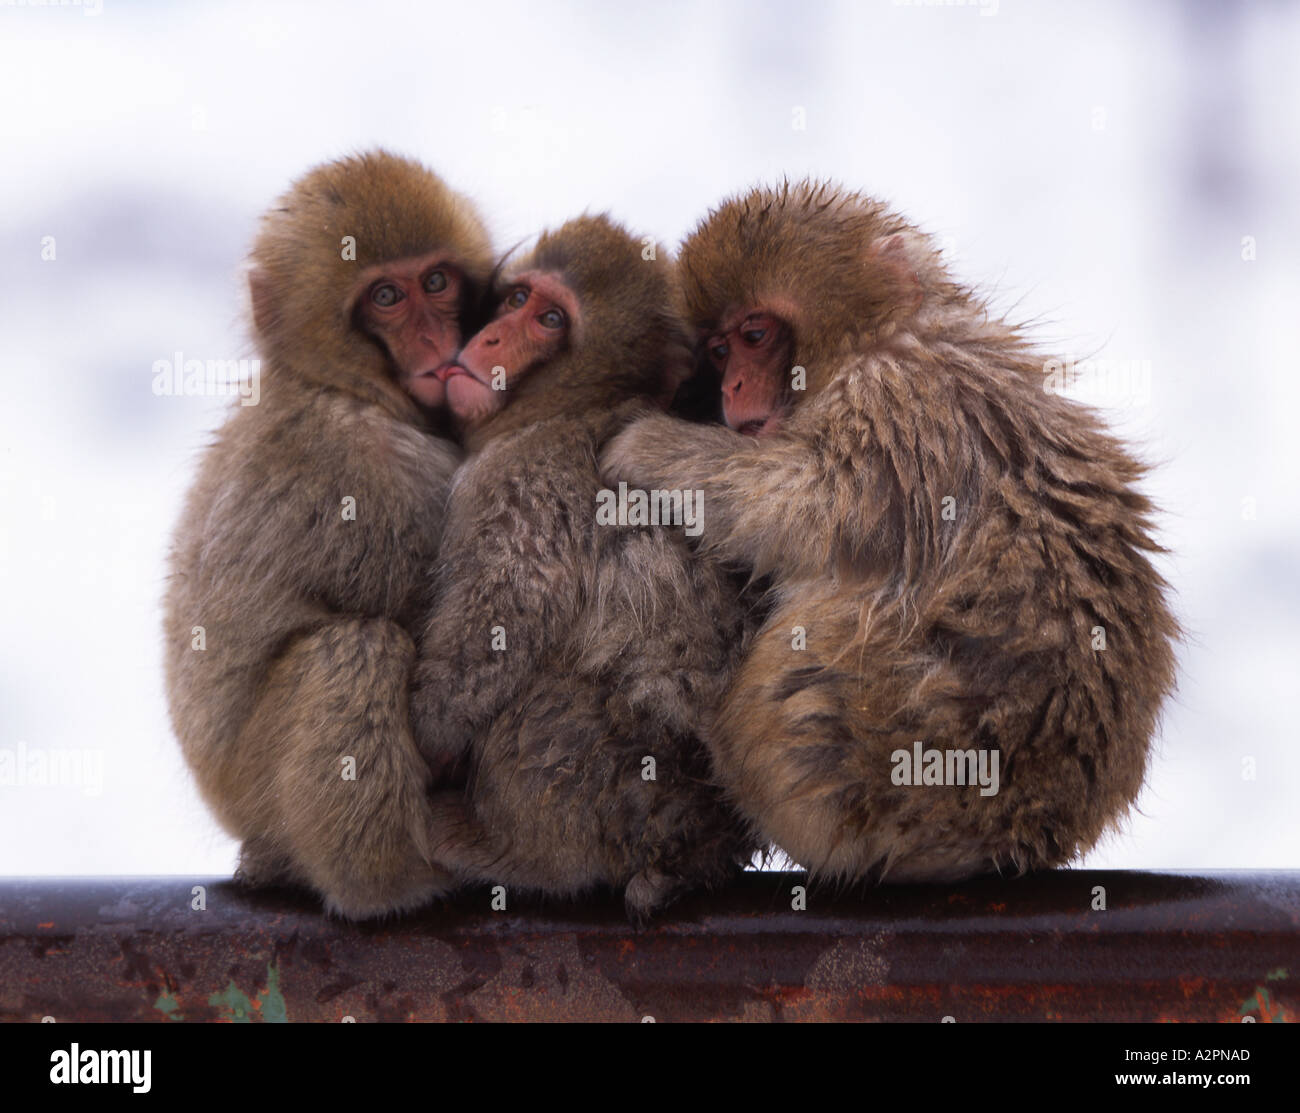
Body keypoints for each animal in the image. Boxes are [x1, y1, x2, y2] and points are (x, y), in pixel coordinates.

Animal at [163, 150, 495, 918]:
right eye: (386, 298)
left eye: (436, 282)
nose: (435, 342)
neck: (340, 384)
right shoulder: (361, 469)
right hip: (255, 787)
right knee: (357, 648)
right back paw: (387, 881)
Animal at [408, 214, 757, 922]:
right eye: (517, 300)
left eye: (549, 320)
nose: (489, 338)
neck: (568, 404)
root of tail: (704, 843)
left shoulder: (526, 465)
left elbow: (502, 618)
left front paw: (431, 729)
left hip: (617, 793)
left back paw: (508, 854)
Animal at [600, 181, 1179, 887]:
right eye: (719, 350)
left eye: (754, 335)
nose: (733, 387)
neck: (884, 338)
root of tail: (1017, 832)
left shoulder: (892, 403)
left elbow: (804, 501)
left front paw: (644, 446)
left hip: (861, 766)